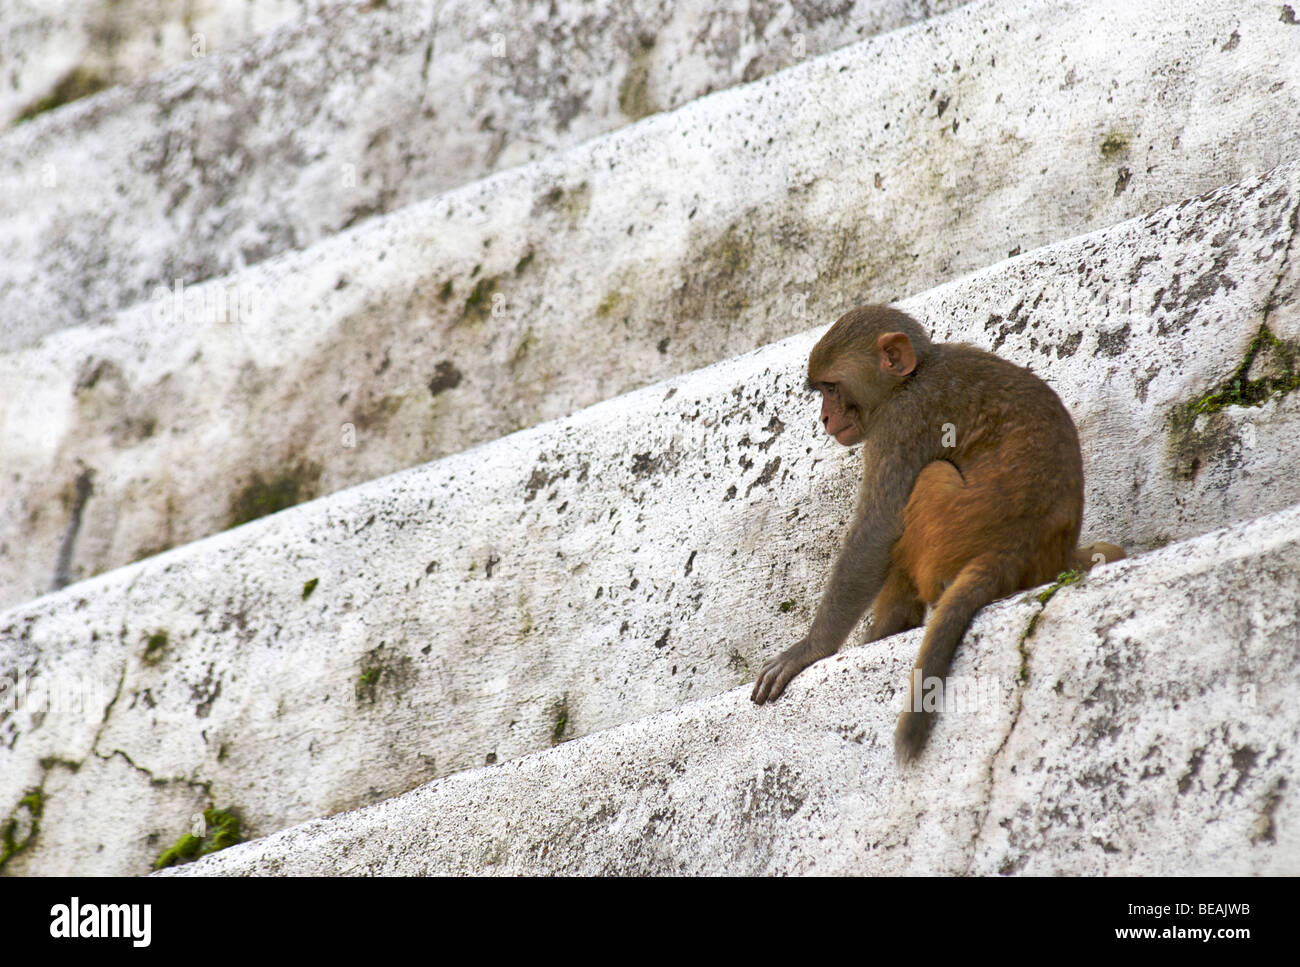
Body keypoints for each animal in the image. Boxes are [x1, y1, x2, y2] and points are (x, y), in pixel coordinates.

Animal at [751, 304, 1113, 762]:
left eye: (831, 388)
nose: (825, 417)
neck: (912, 377)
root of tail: (1012, 552)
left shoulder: (900, 422)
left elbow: (878, 528)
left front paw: (810, 648)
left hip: (948, 532)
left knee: (929, 478)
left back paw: (893, 625)